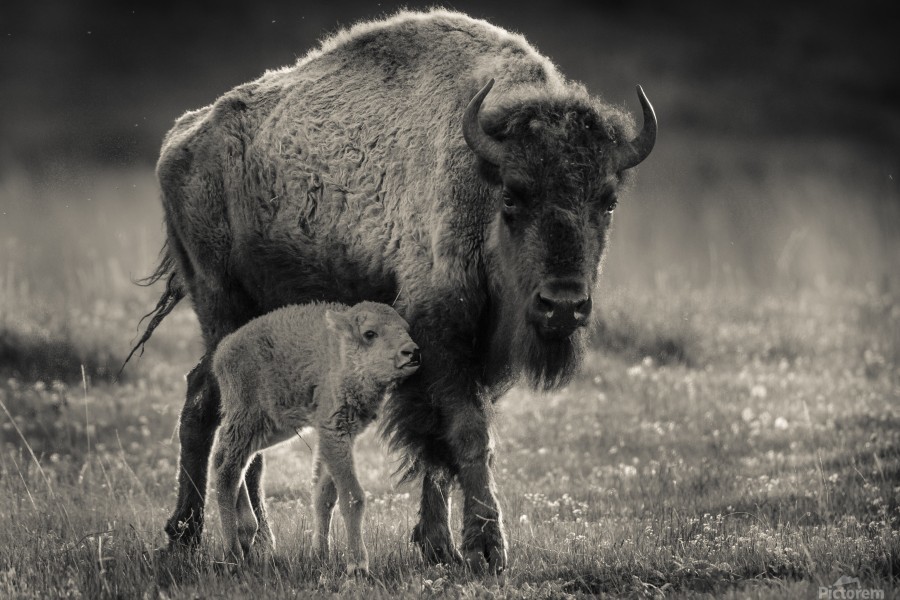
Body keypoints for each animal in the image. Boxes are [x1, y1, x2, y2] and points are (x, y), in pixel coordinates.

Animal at [131, 9, 656, 572]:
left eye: (606, 200)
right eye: (513, 196)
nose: (562, 305)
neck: (478, 175)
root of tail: (180, 138)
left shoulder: (465, 359)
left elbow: (439, 448)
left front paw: (437, 545)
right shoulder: (441, 339)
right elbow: (467, 436)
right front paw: (486, 549)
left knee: (222, 411)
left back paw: (243, 539)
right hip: (220, 306)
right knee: (208, 402)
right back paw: (200, 535)